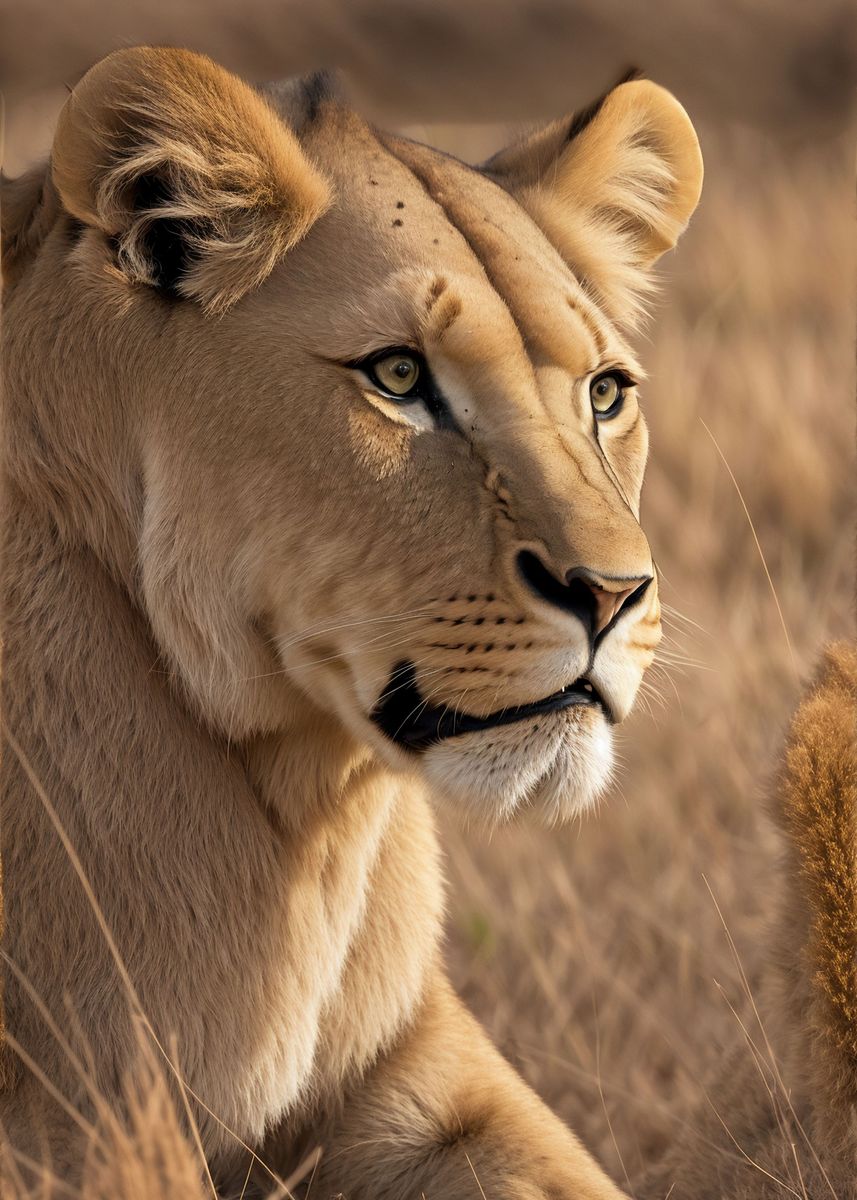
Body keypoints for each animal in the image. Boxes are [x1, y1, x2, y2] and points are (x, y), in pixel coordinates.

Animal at [0, 47, 702, 1196]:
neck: (310, 808)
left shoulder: (411, 1065)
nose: (612, 594)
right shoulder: (78, 1124)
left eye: (604, 394)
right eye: (398, 376)